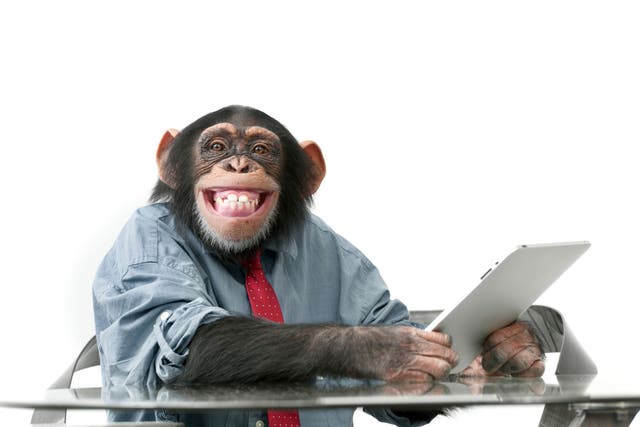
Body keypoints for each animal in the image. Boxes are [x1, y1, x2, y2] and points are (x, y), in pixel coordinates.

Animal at [92, 105, 544, 426]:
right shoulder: (143, 246)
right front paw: (387, 347)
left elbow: (384, 314)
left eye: (260, 150)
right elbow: (186, 336)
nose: (239, 164)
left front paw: (510, 346)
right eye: (216, 147)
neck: (245, 254)